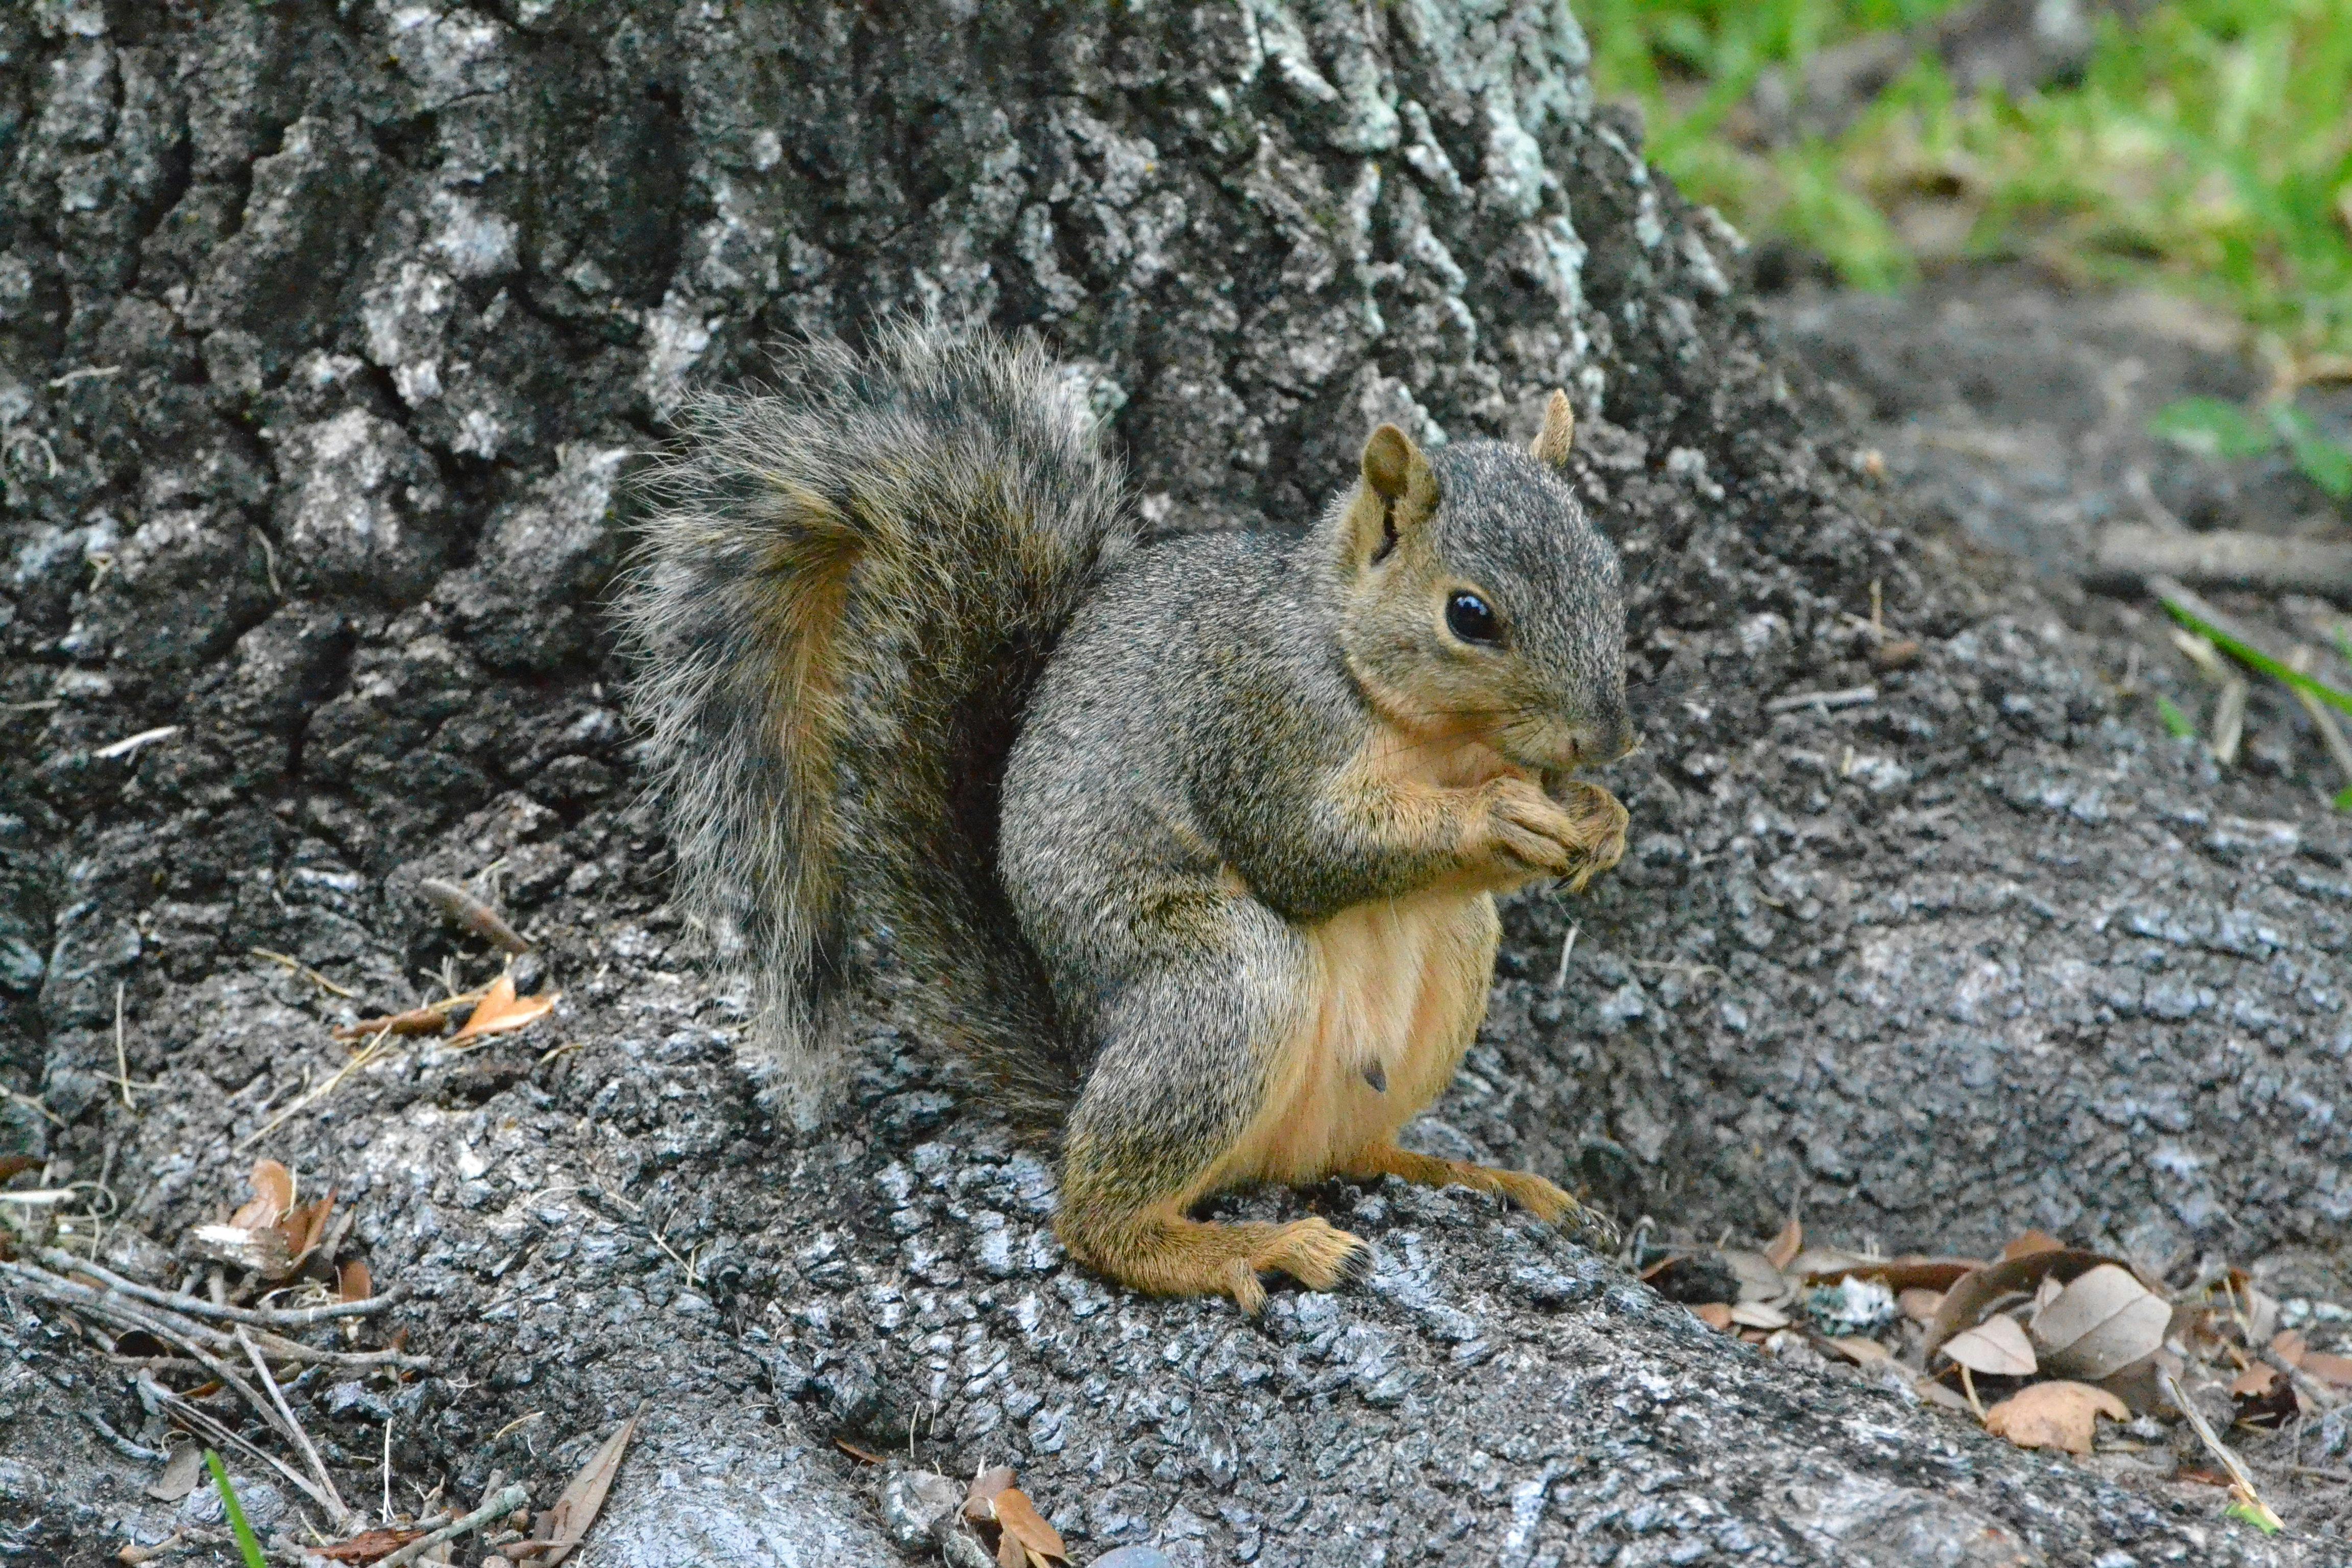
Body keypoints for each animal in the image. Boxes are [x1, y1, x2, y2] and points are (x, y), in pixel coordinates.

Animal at [620, 322, 1633, 1311]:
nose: (1608, 738)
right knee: (1097, 1219)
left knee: (1351, 1151)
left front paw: (1600, 817)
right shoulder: (1254, 716)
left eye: (1608, 572)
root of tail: (1085, 1062)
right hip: (1221, 978)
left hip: (1451, 948)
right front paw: (1498, 815)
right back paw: (1235, 1248)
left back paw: (1477, 1176)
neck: (1427, 731)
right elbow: (1304, 850)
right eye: (1470, 615)